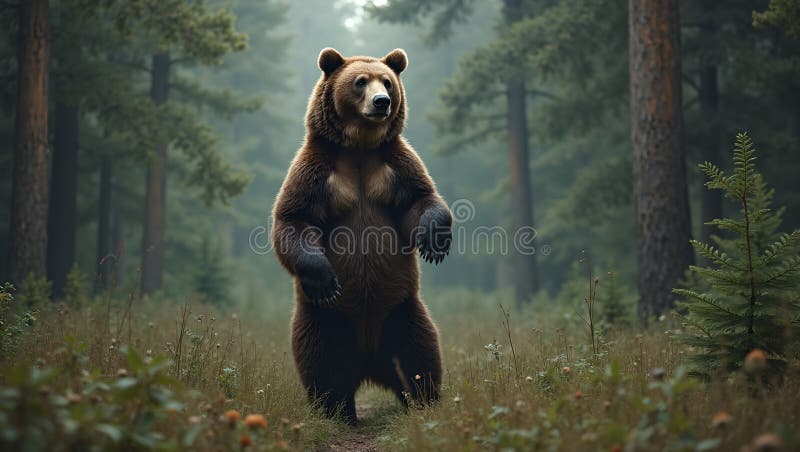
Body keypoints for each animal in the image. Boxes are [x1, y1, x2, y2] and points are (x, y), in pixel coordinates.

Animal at [271, 47, 452, 424]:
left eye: (387, 81)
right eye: (360, 82)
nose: (382, 102)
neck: (359, 148)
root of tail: (369, 363)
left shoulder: (394, 163)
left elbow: (420, 198)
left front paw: (435, 242)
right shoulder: (316, 169)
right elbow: (294, 218)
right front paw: (323, 276)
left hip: (402, 311)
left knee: (420, 355)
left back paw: (422, 400)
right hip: (327, 319)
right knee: (324, 364)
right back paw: (336, 411)